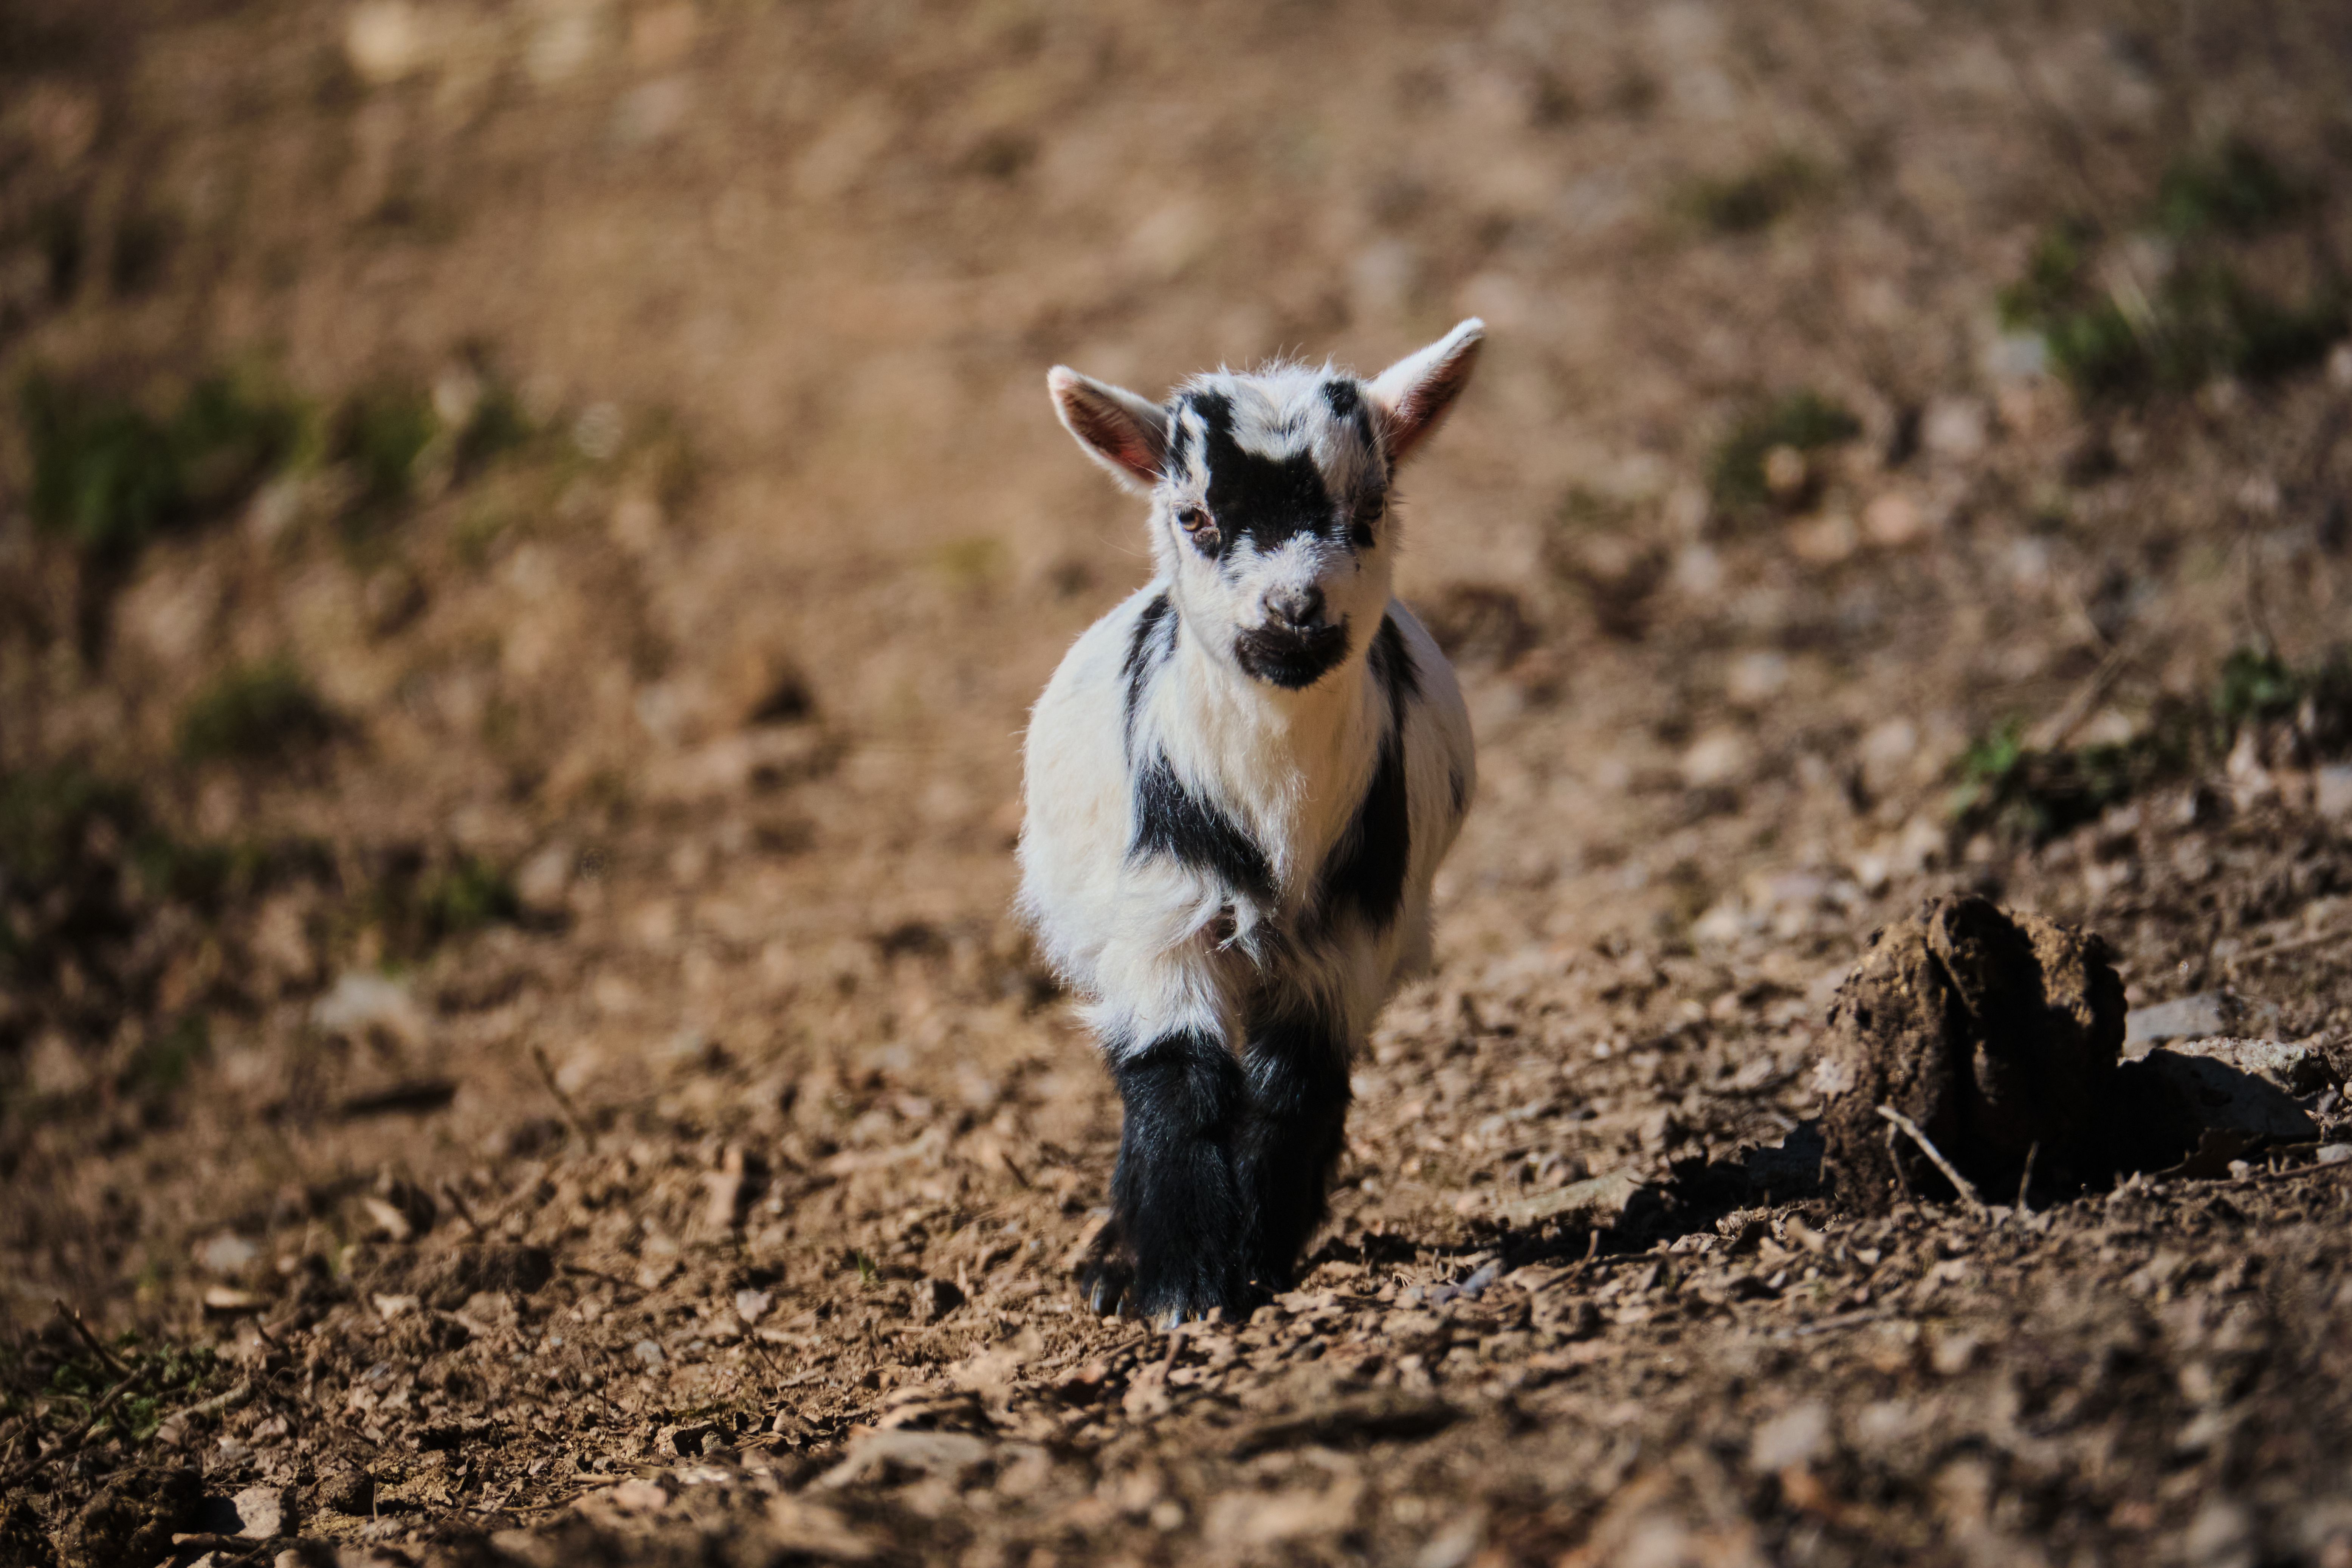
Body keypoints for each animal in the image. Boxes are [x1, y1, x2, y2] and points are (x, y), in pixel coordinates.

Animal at [1018, 320, 1484, 1325]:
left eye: (1372, 505)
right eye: (1193, 517)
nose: (1294, 609)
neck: (1278, 811)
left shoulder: (1346, 938)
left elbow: (1294, 1091)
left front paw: (1255, 1257)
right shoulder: (1157, 921)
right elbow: (1173, 1078)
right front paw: (1177, 1286)